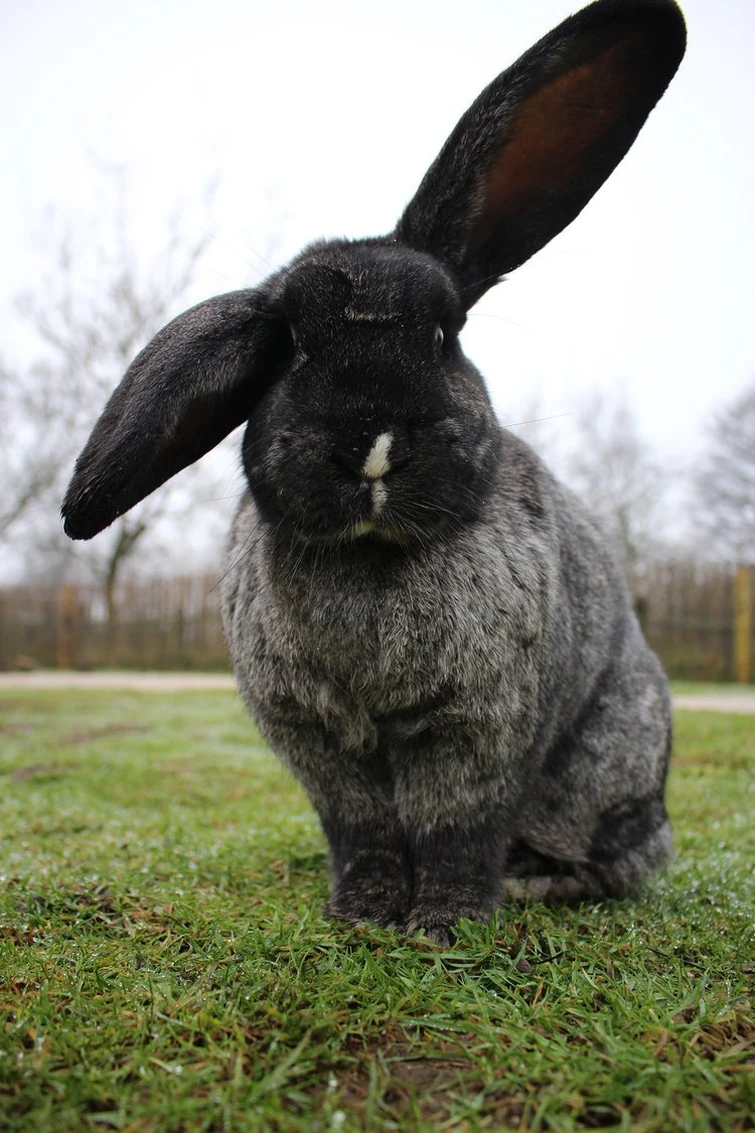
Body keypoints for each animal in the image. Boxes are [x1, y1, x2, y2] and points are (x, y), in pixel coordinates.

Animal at [62, 0, 686, 944]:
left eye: (444, 333)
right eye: (291, 343)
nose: (372, 447)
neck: (369, 554)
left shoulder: (475, 731)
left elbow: (455, 830)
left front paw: (443, 925)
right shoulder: (316, 741)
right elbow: (364, 831)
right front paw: (359, 915)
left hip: (614, 764)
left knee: (616, 857)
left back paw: (539, 880)